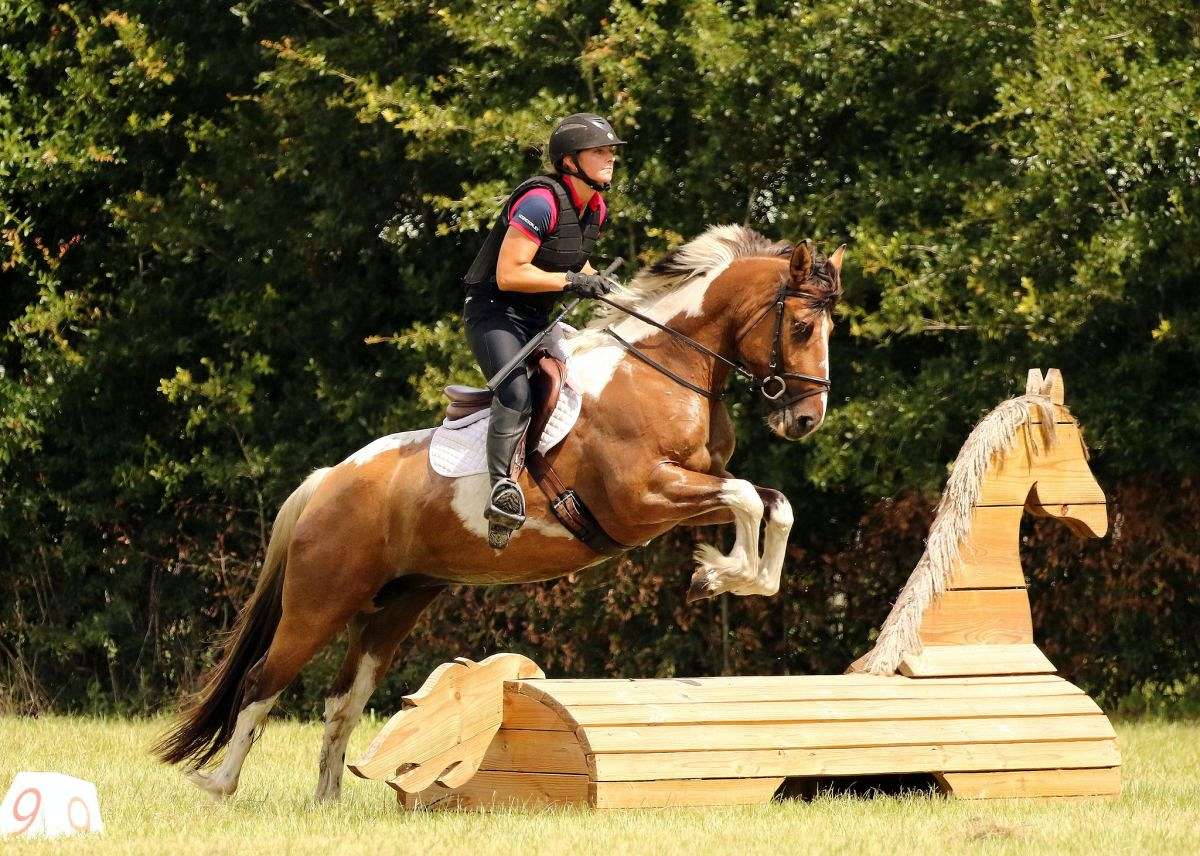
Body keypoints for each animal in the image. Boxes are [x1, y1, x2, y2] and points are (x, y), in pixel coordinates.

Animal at [154, 225, 845, 801]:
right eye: (801, 329)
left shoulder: (685, 494)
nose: (807, 421)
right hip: (319, 601)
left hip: (395, 604)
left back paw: (327, 801)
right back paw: (220, 786)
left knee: (341, 701)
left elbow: (771, 502)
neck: (665, 370)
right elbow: (749, 497)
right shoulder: (642, 499)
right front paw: (722, 572)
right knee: (262, 682)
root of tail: (330, 479)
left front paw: (727, 574)